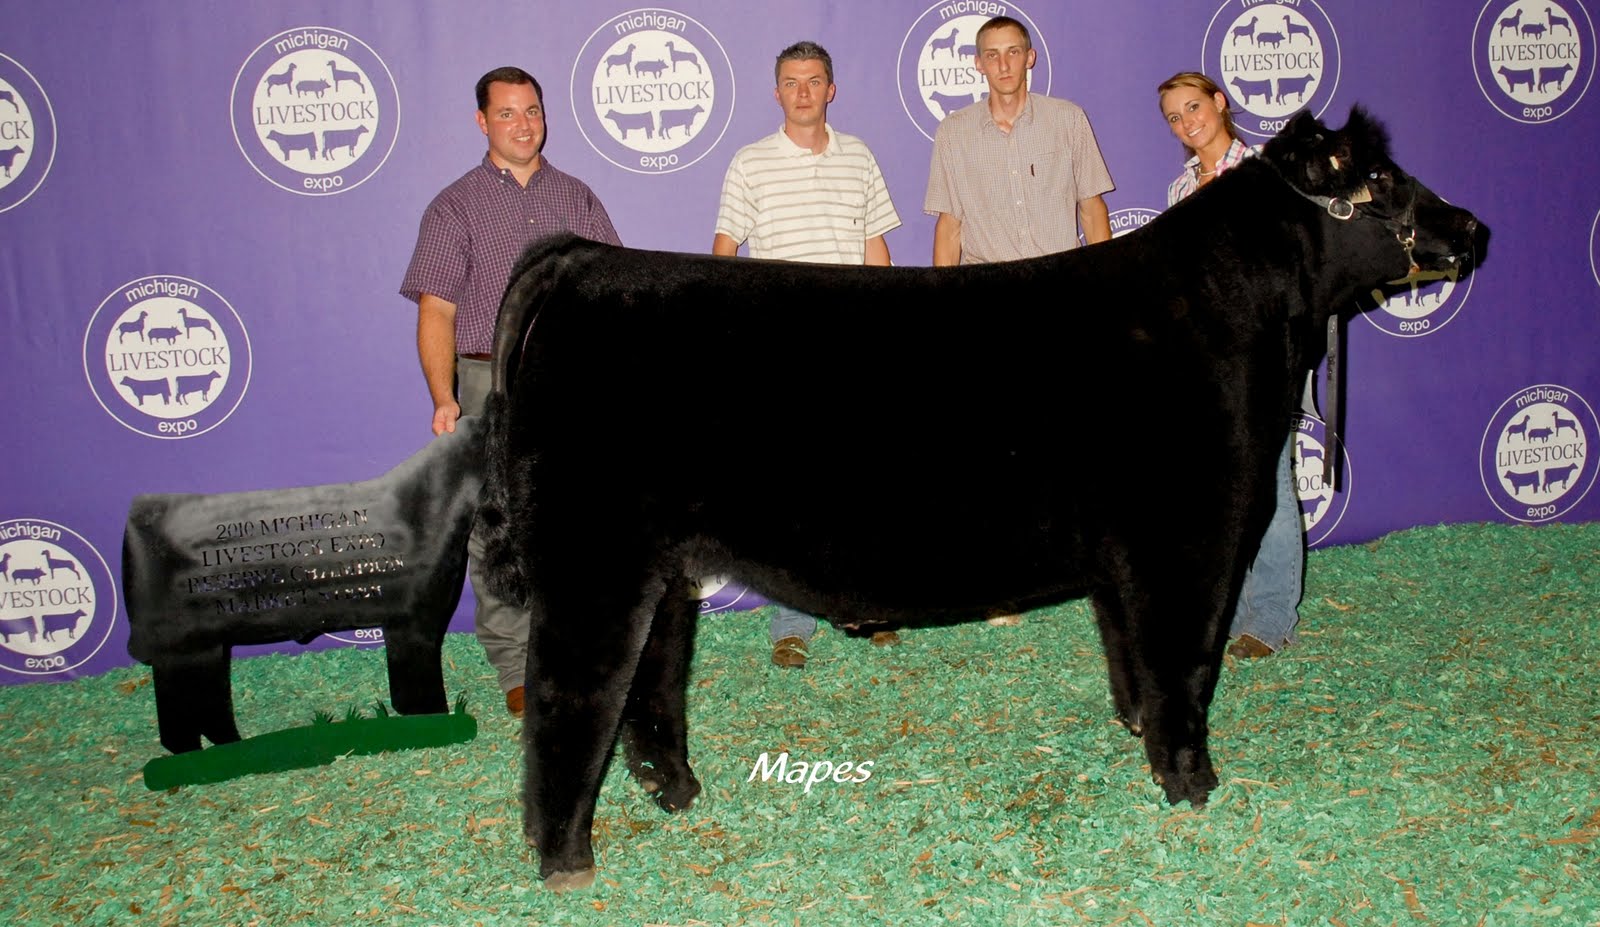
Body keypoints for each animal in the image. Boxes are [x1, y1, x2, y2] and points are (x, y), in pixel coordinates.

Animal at [123, 418, 485, 755]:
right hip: (185, 647)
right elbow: (417, 685)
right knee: (185, 712)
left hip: (197, 650)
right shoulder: (413, 619)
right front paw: (437, 720)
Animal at [473, 108, 1485, 890]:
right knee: (571, 696)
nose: (1474, 227)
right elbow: (1186, 665)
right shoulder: (1191, 537)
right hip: (593, 559)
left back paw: (677, 793)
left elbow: (1131, 652)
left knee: (652, 683)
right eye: (1382, 178)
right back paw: (565, 856)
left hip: (661, 560)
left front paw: (1137, 731)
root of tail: (582, 260)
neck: (1225, 313)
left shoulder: (1125, 553)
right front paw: (1192, 779)